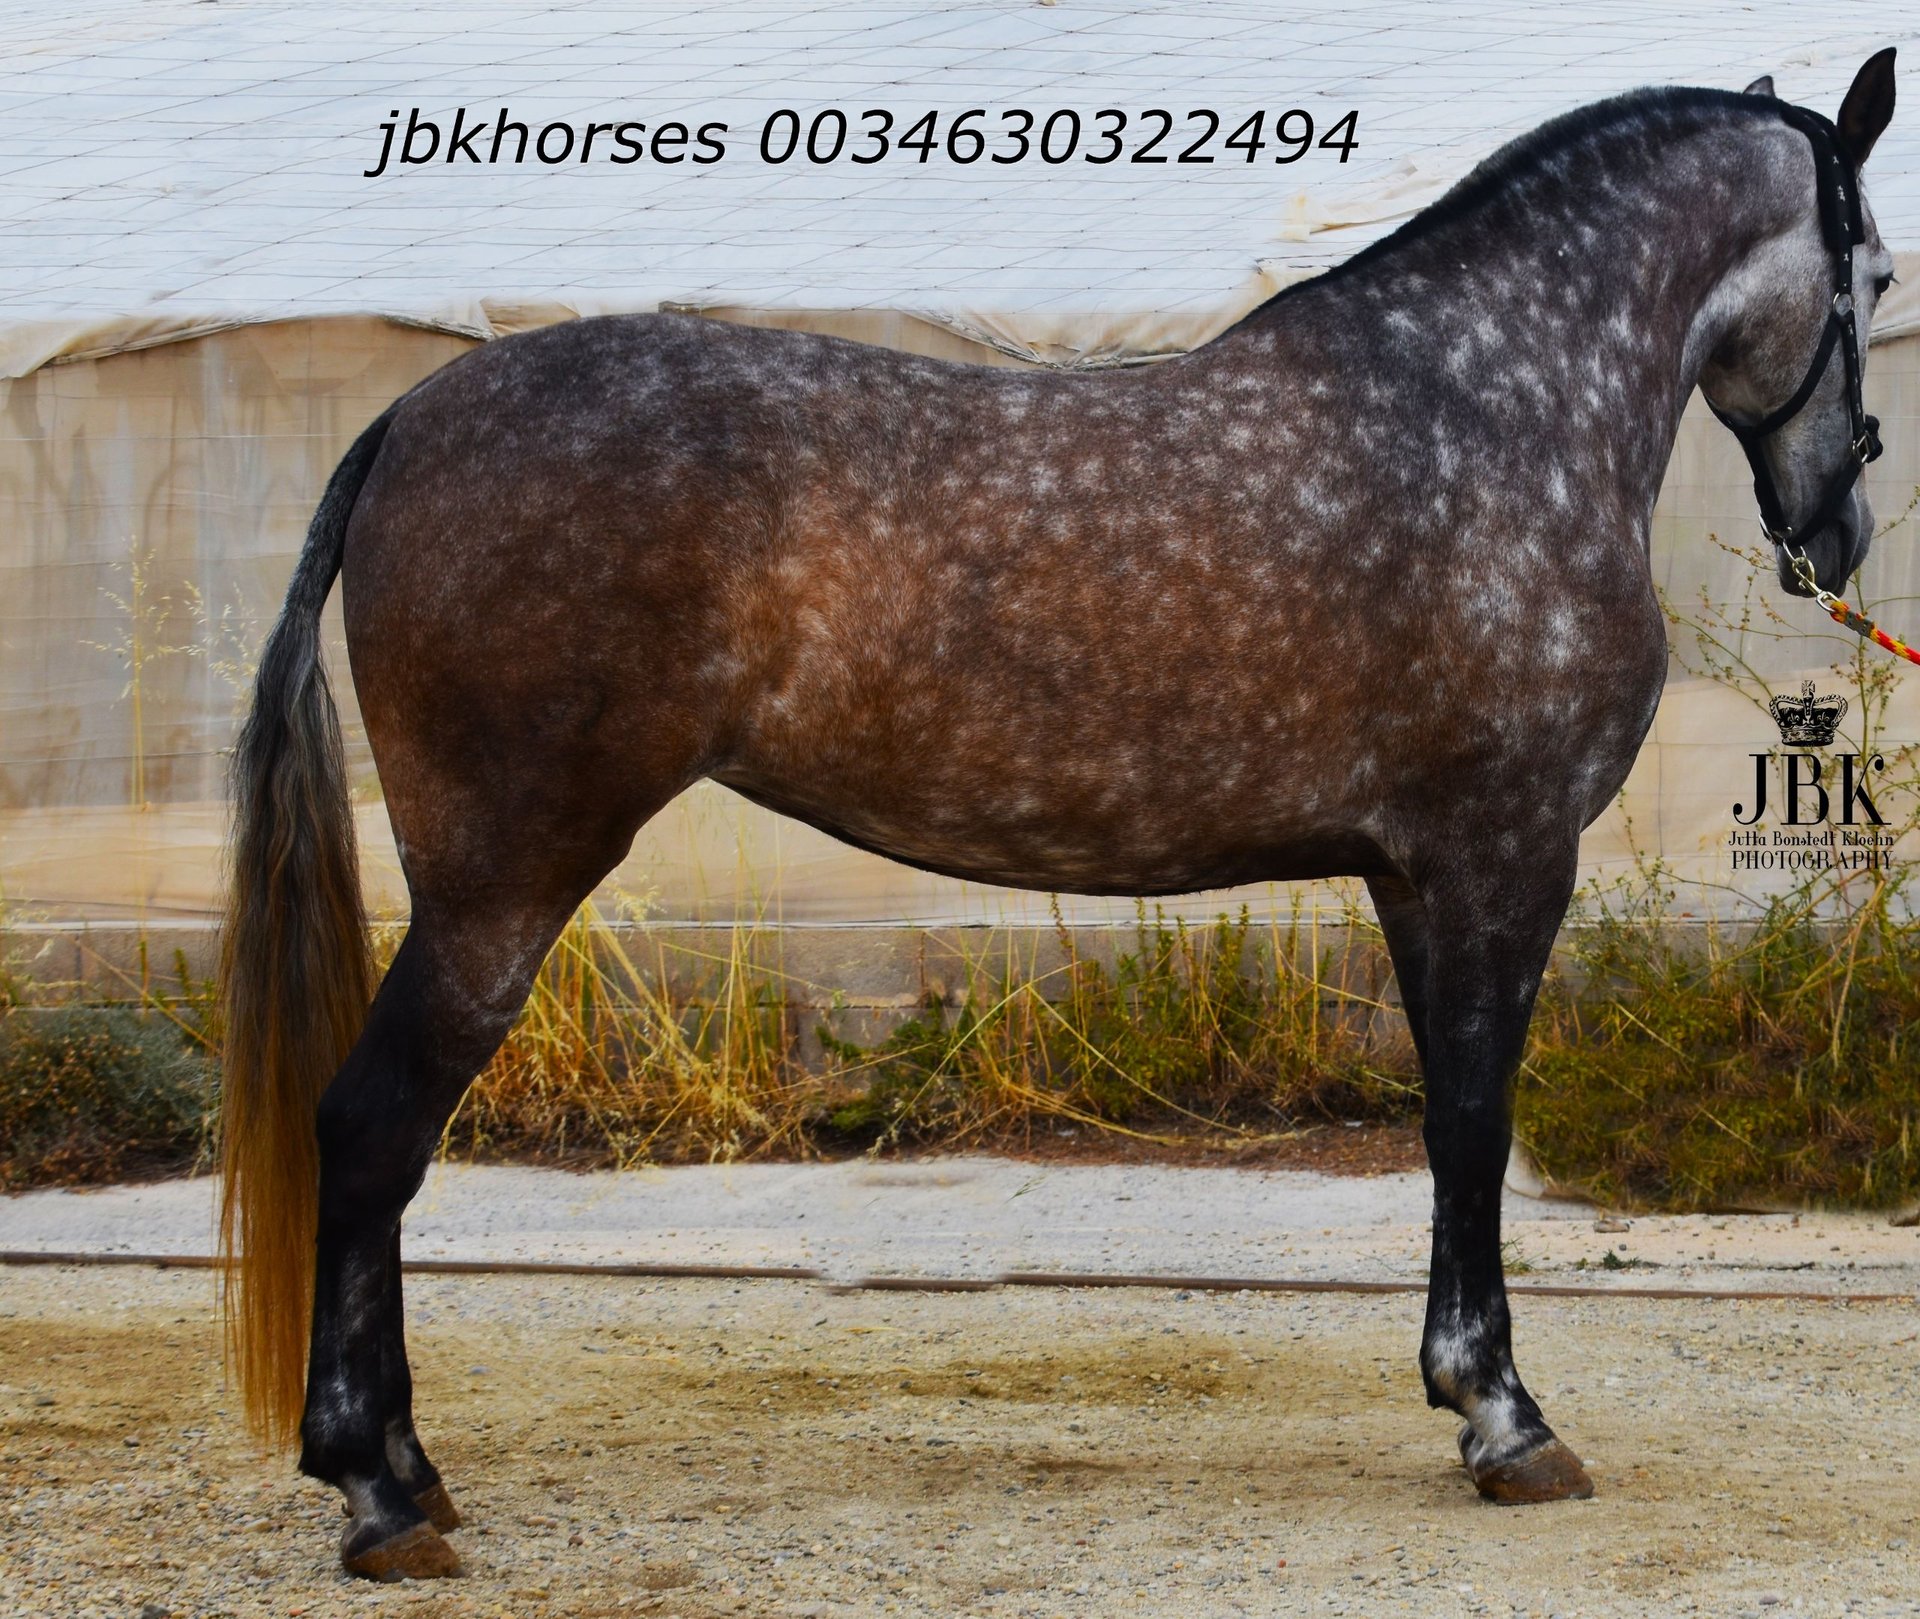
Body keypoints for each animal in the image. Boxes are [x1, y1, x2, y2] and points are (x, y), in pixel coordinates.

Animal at [217, 53, 1898, 1578]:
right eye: (1874, 272)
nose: (1839, 529)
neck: (1484, 407)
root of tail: (409, 417)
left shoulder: (1418, 876)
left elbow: (1445, 1124)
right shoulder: (1503, 856)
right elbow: (1479, 1124)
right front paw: (1506, 1417)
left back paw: (409, 1472)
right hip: (500, 883)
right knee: (371, 1129)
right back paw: (375, 1491)